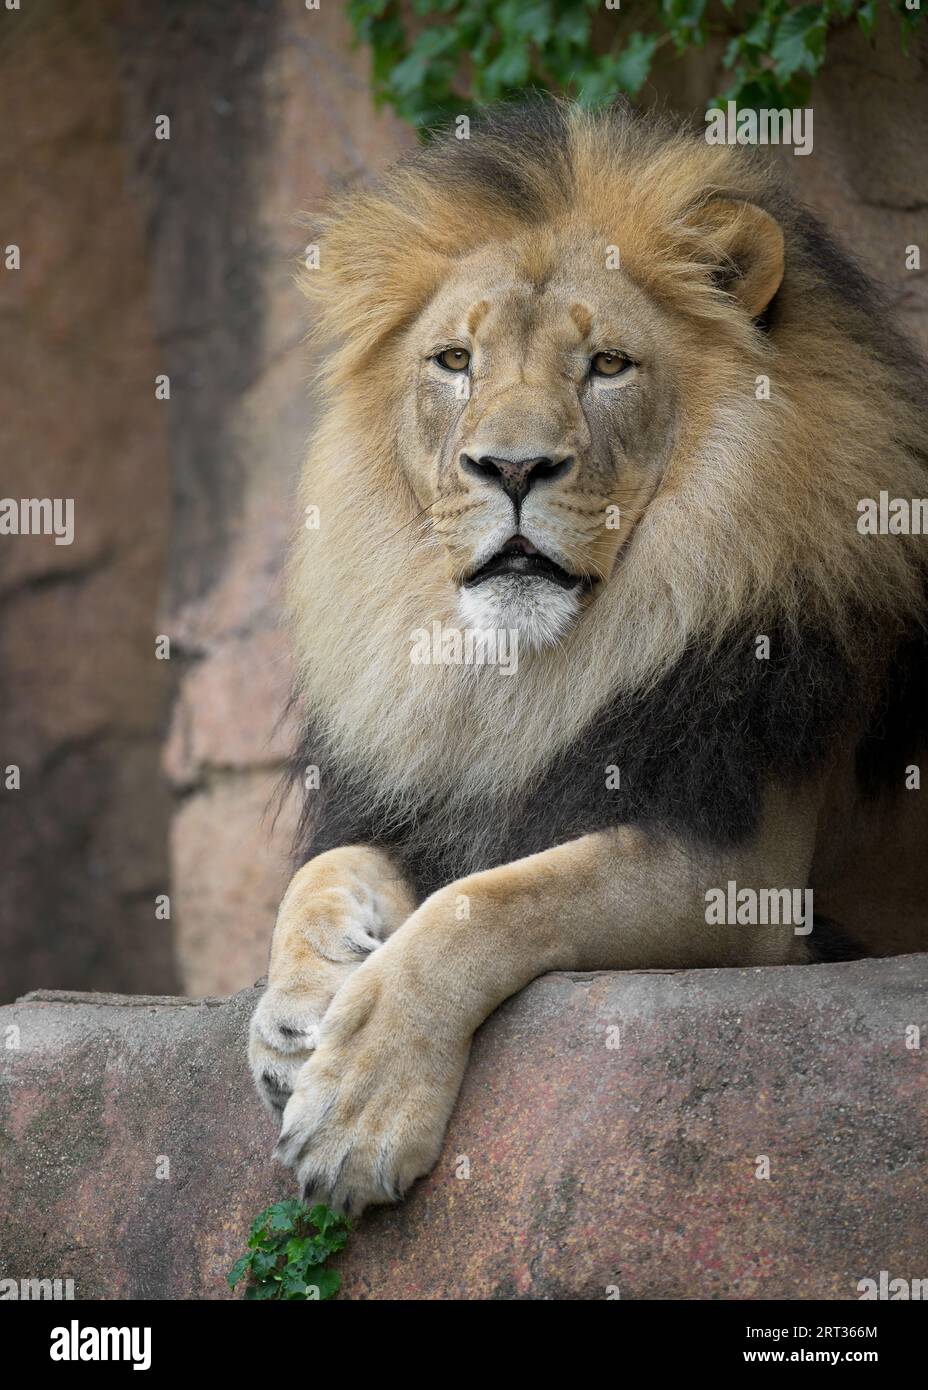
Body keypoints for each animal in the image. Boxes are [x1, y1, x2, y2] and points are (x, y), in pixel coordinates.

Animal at [249, 98, 928, 1214]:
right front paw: (293, 1009)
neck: (522, 674)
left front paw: (359, 1103)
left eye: (606, 365)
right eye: (454, 362)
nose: (513, 468)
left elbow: (492, 901)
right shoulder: (434, 793)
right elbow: (326, 868)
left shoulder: (739, 868)